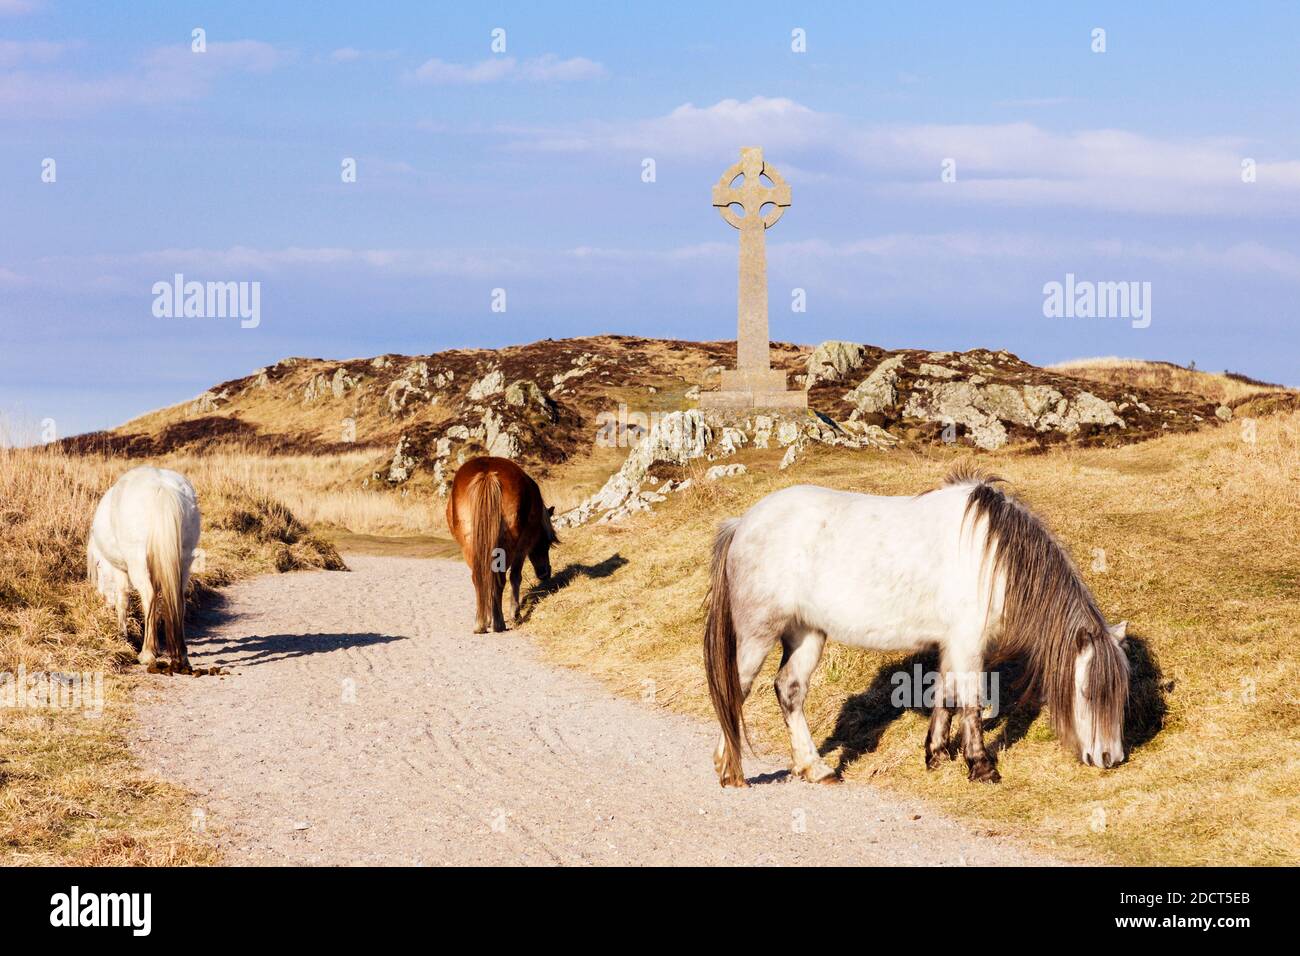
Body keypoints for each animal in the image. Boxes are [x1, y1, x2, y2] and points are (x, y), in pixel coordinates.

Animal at [87, 465, 202, 670]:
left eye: (99, 567)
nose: (104, 601)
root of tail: (162, 488)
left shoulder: (120, 571)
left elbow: (123, 599)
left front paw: (123, 635)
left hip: (137, 563)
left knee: (148, 596)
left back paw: (147, 653)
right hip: (184, 561)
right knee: (179, 599)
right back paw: (180, 655)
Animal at [446, 456, 559, 633]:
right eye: (546, 542)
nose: (545, 573)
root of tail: (488, 474)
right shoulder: (522, 547)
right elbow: (515, 577)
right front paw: (515, 613)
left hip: (470, 546)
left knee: (479, 578)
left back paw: (481, 623)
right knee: (499, 579)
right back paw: (498, 623)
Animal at [703, 465, 1130, 787]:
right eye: (1088, 692)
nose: (1110, 757)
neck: (992, 559)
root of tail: (742, 523)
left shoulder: (953, 643)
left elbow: (947, 694)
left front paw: (936, 755)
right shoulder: (969, 642)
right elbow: (971, 701)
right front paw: (981, 767)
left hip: (806, 633)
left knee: (790, 690)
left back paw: (816, 769)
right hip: (758, 634)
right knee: (734, 689)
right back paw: (731, 772)